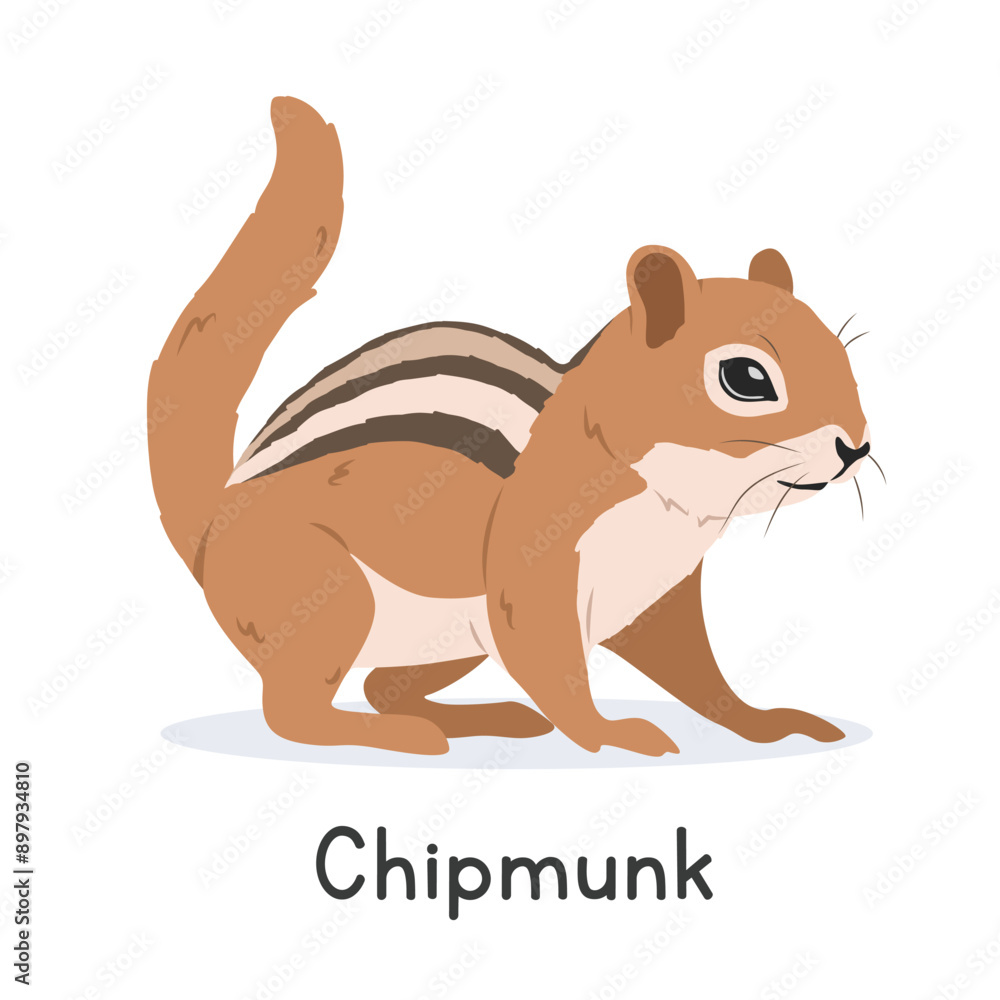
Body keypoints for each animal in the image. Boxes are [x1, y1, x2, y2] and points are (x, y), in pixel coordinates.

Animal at [149, 97, 872, 757]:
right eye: (746, 378)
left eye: (839, 355)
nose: (856, 446)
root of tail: (209, 529)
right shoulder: (533, 562)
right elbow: (551, 663)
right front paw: (608, 733)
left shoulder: (657, 598)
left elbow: (697, 672)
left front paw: (763, 722)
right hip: (324, 591)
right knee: (293, 713)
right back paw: (393, 736)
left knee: (382, 685)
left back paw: (474, 718)